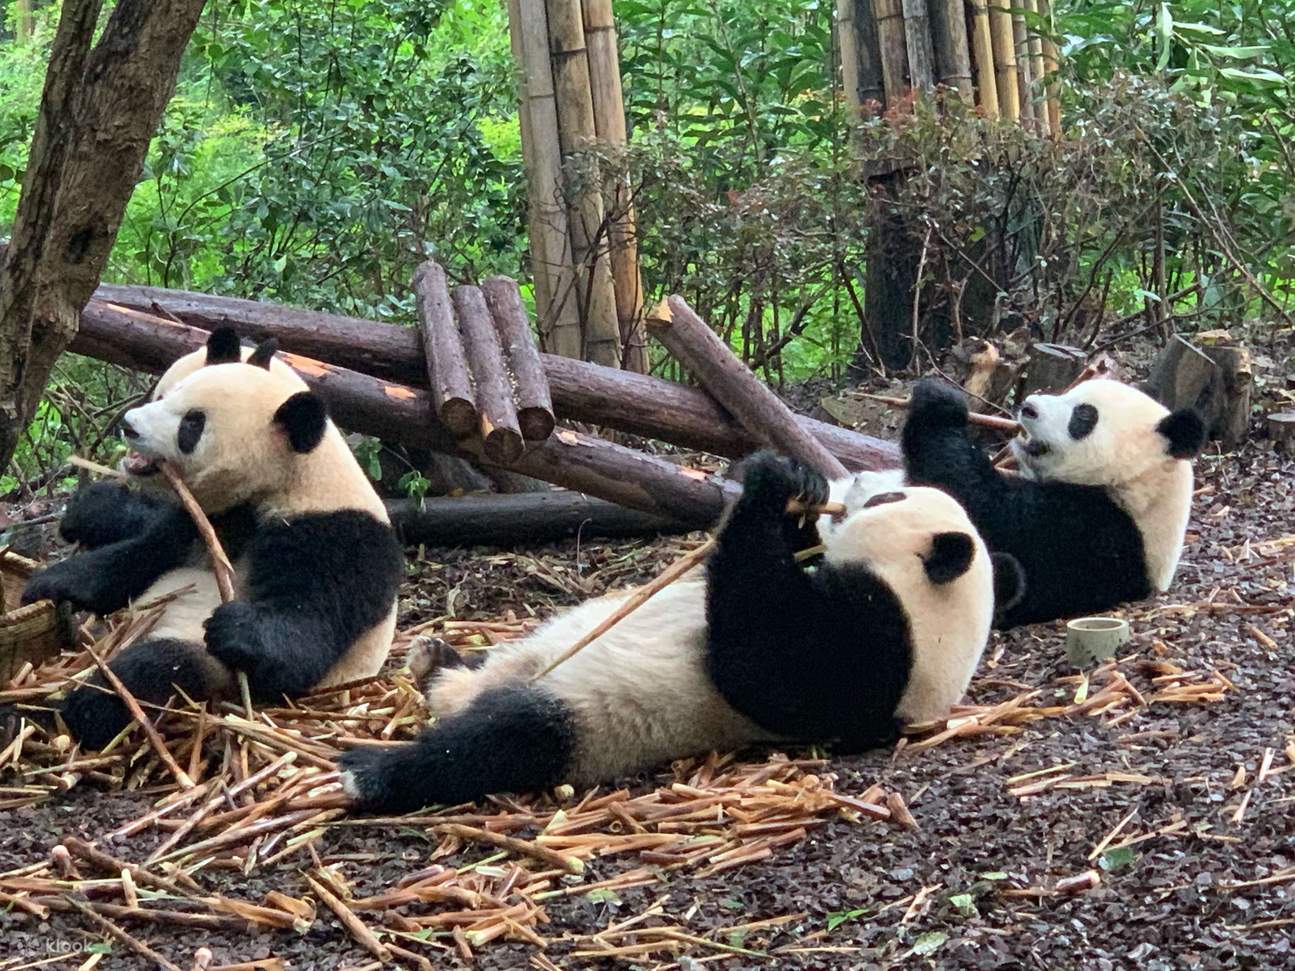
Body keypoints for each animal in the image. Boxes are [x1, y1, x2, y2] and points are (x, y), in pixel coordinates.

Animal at [9, 332, 404, 749]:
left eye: (192, 423)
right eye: (169, 394)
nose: (130, 425)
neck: (289, 479)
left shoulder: (336, 539)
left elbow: (304, 641)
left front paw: (235, 626)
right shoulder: (203, 518)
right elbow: (135, 559)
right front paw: (50, 583)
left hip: (208, 666)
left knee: (158, 667)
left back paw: (69, 711)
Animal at [340, 450, 1022, 813]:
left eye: (889, 499)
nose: (853, 482)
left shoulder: (873, 653)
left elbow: (761, 660)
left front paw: (770, 484)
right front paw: (799, 489)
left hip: (587, 718)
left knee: (498, 742)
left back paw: (373, 771)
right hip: (532, 655)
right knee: (484, 676)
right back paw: (435, 659)